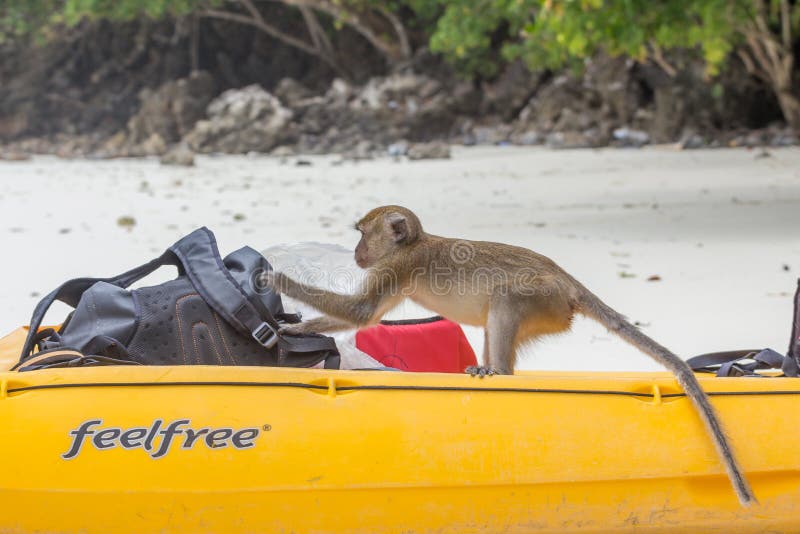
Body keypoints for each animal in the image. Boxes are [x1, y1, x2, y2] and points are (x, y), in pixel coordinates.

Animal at [263, 205, 756, 506]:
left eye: (365, 235)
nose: (356, 253)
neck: (413, 244)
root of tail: (567, 280)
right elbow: (363, 317)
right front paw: (298, 326)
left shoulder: (397, 267)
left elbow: (362, 314)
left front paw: (276, 281)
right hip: (550, 311)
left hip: (543, 300)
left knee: (503, 299)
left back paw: (496, 370)